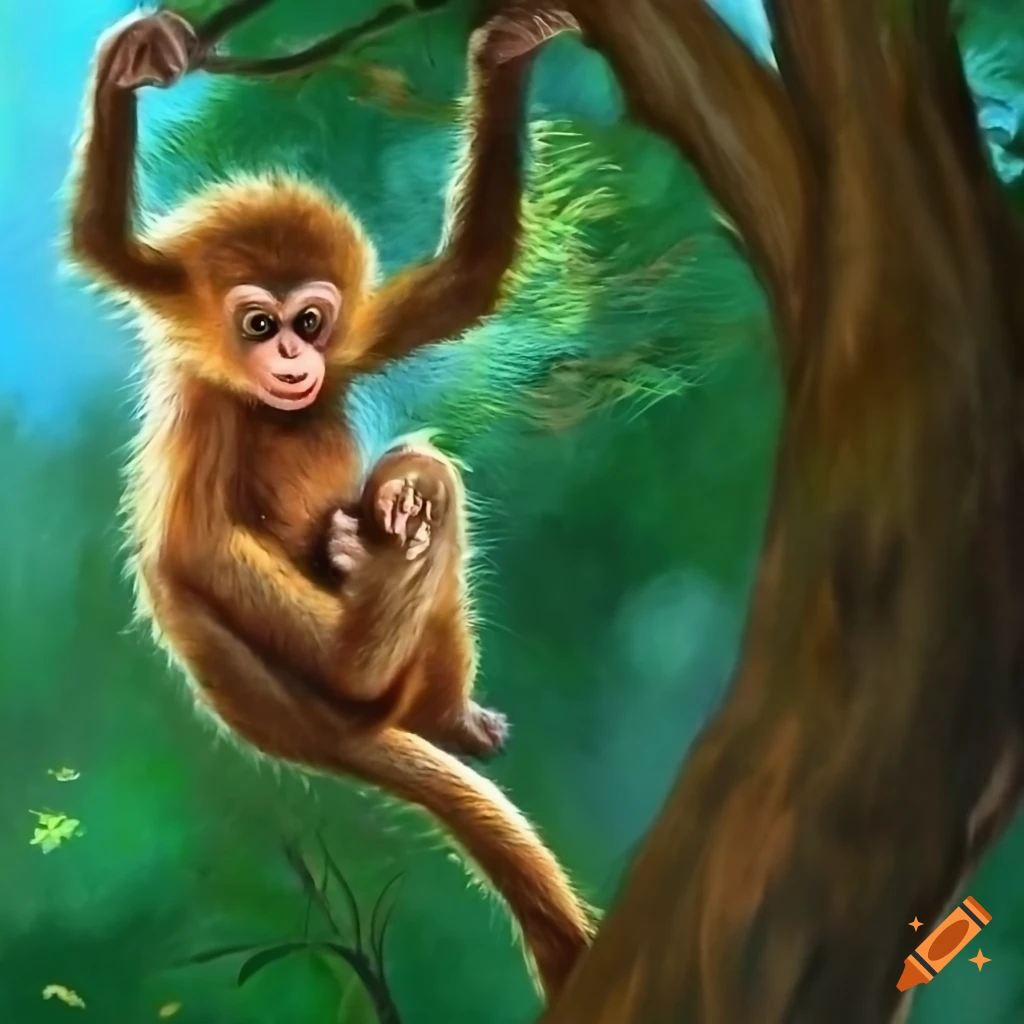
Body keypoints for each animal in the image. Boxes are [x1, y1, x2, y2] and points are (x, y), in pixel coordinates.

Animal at [65, 5, 594, 998]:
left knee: (421, 478)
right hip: (307, 693)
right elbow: (195, 545)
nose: (290, 358)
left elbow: (467, 282)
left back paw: (434, 685)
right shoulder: (207, 400)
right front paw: (126, 70)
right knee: (401, 524)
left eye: (308, 322)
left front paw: (504, 55)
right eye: (258, 323)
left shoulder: (353, 340)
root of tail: (316, 742)